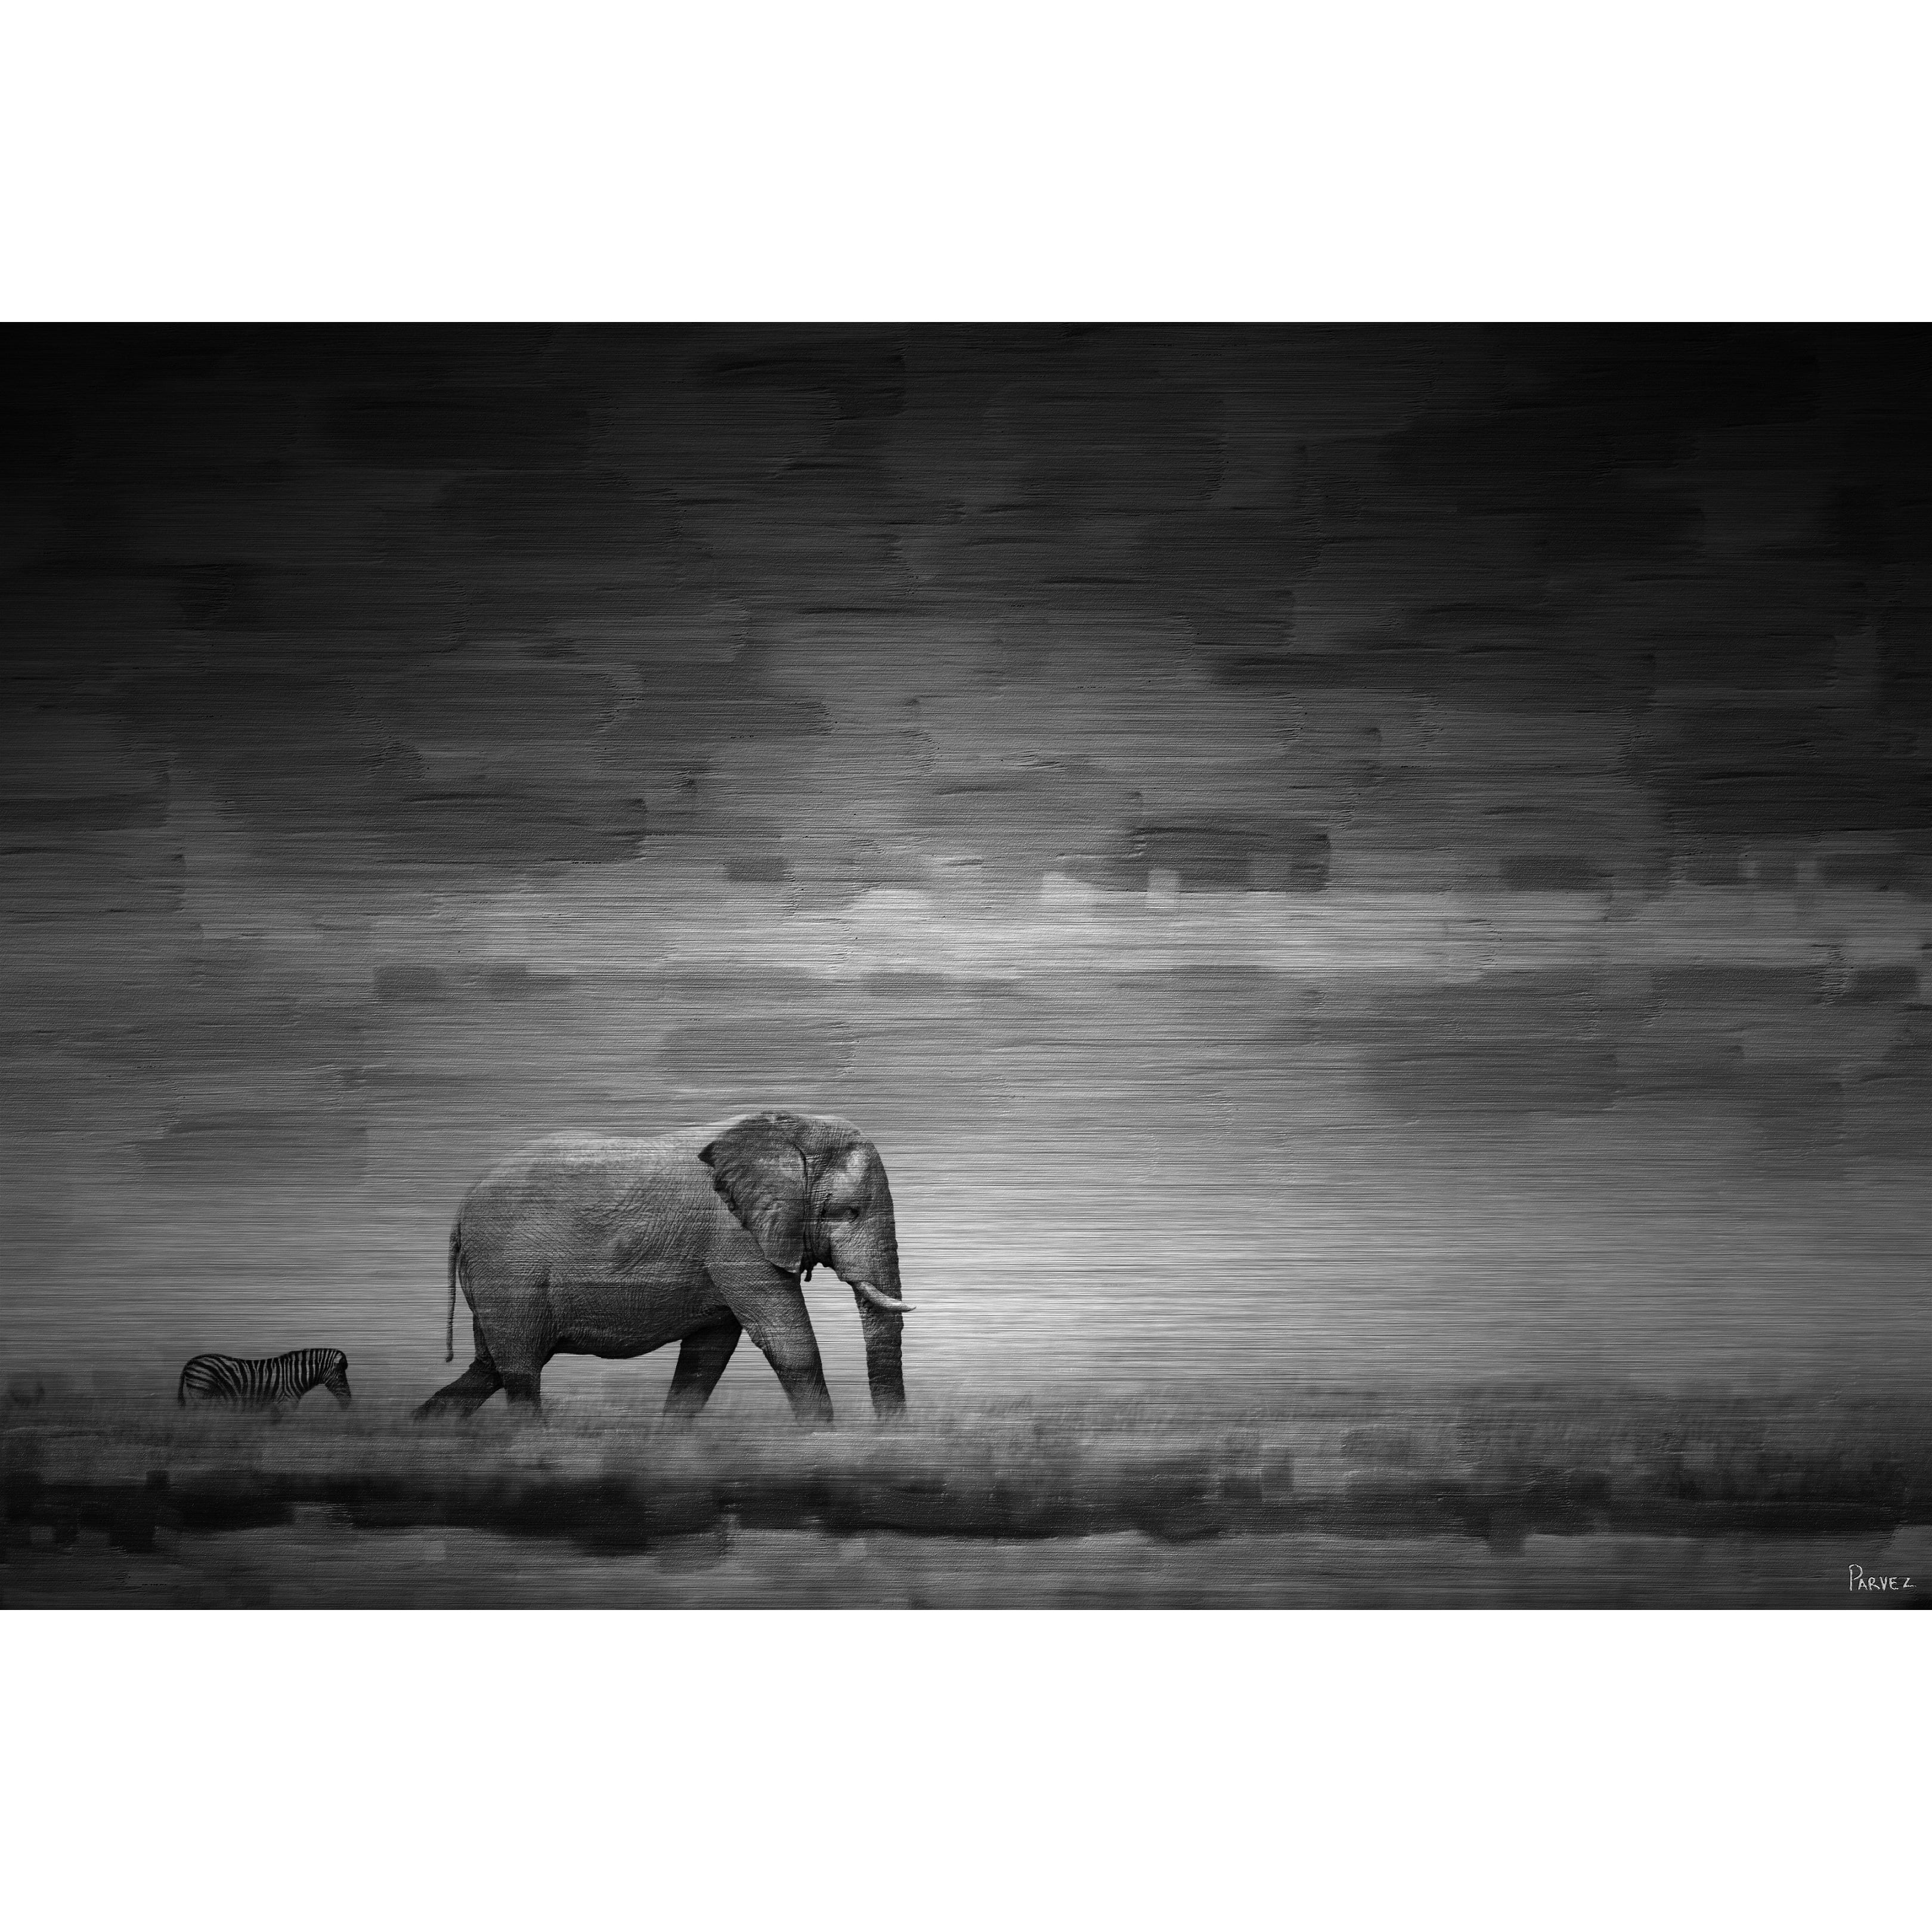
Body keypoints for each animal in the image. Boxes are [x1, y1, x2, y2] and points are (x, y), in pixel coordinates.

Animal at [415, 1110, 913, 1423]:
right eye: (846, 1212)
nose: (889, 1446)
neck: (789, 1128)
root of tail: (460, 1210)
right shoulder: (734, 1238)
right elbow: (789, 1342)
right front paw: (824, 1448)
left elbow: (705, 1358)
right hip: (506, 1269)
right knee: (519, 1373)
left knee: (489, 1369)